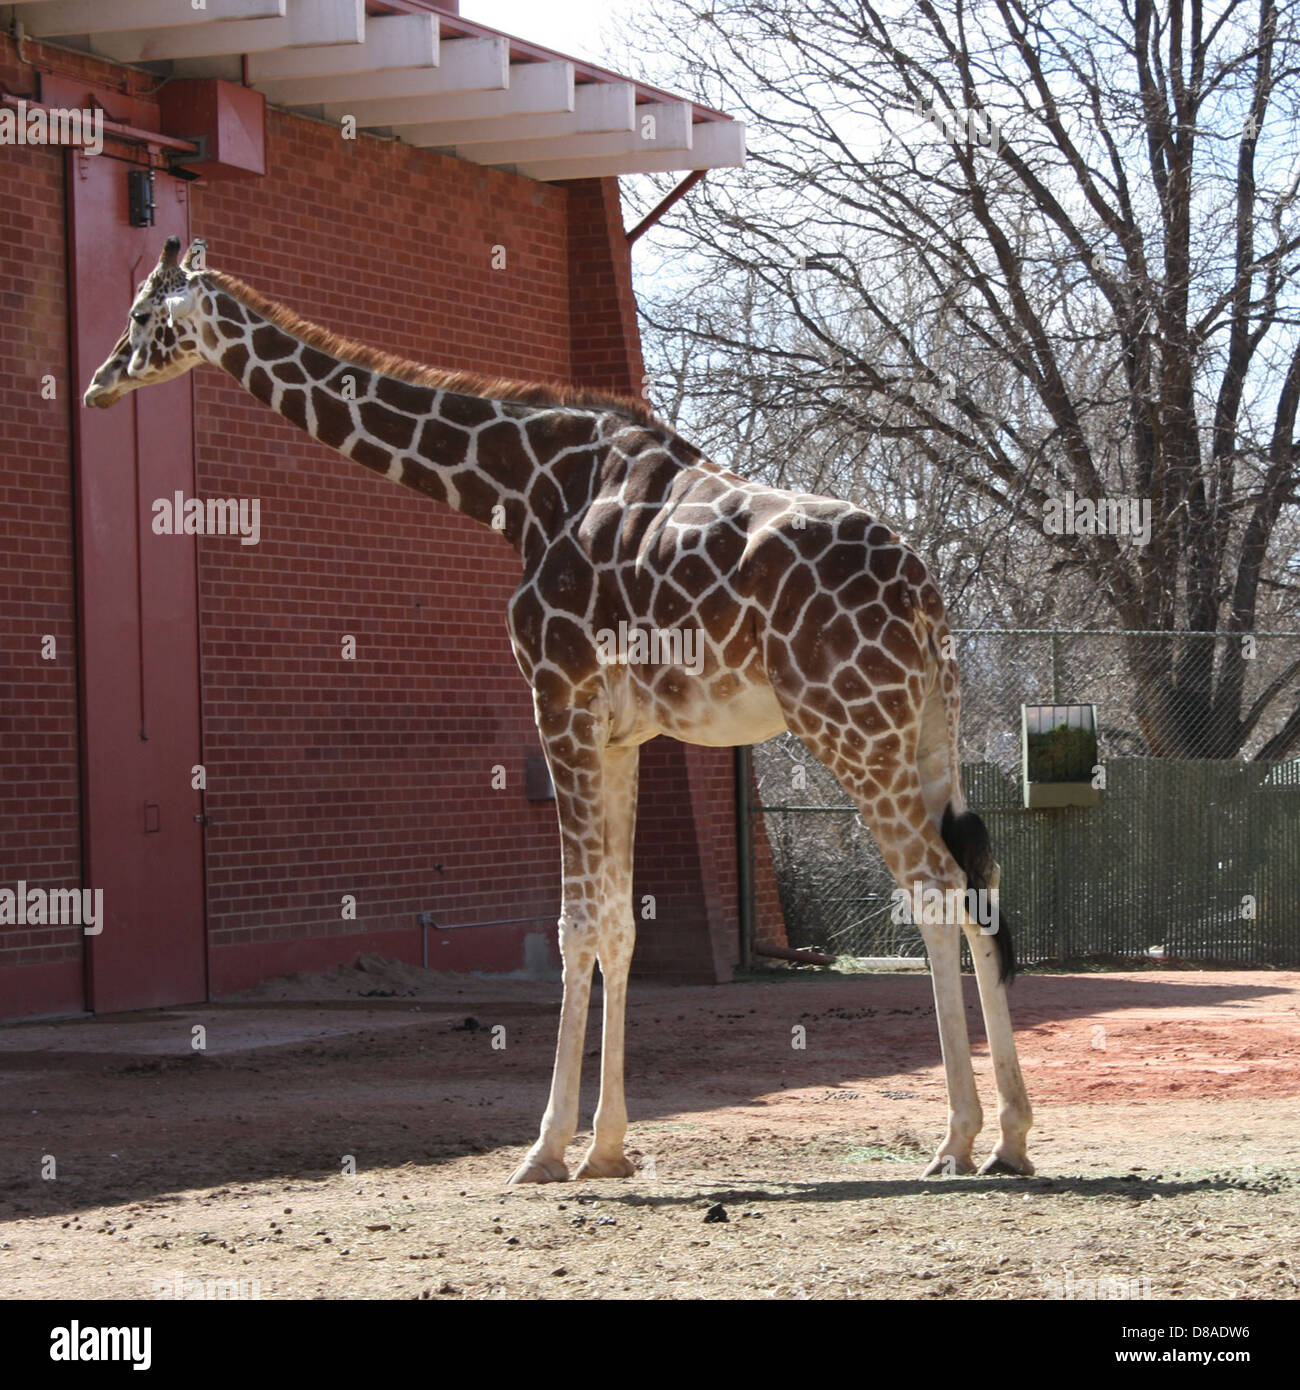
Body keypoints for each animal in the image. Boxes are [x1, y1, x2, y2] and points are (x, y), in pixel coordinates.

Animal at [83, 237, 1034, 1182]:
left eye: (141, 313)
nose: (97, 384)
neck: (522, 488)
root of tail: (925, 594)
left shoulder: (556, 695)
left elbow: (577, 923)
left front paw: (543, 1149)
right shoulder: (622, 734)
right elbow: (618, 926)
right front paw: (606, 1148)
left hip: (851, 724)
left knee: (934, 888)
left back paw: (956, 1137)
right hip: (923, 730)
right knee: (979, 874)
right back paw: (1010, 1138)